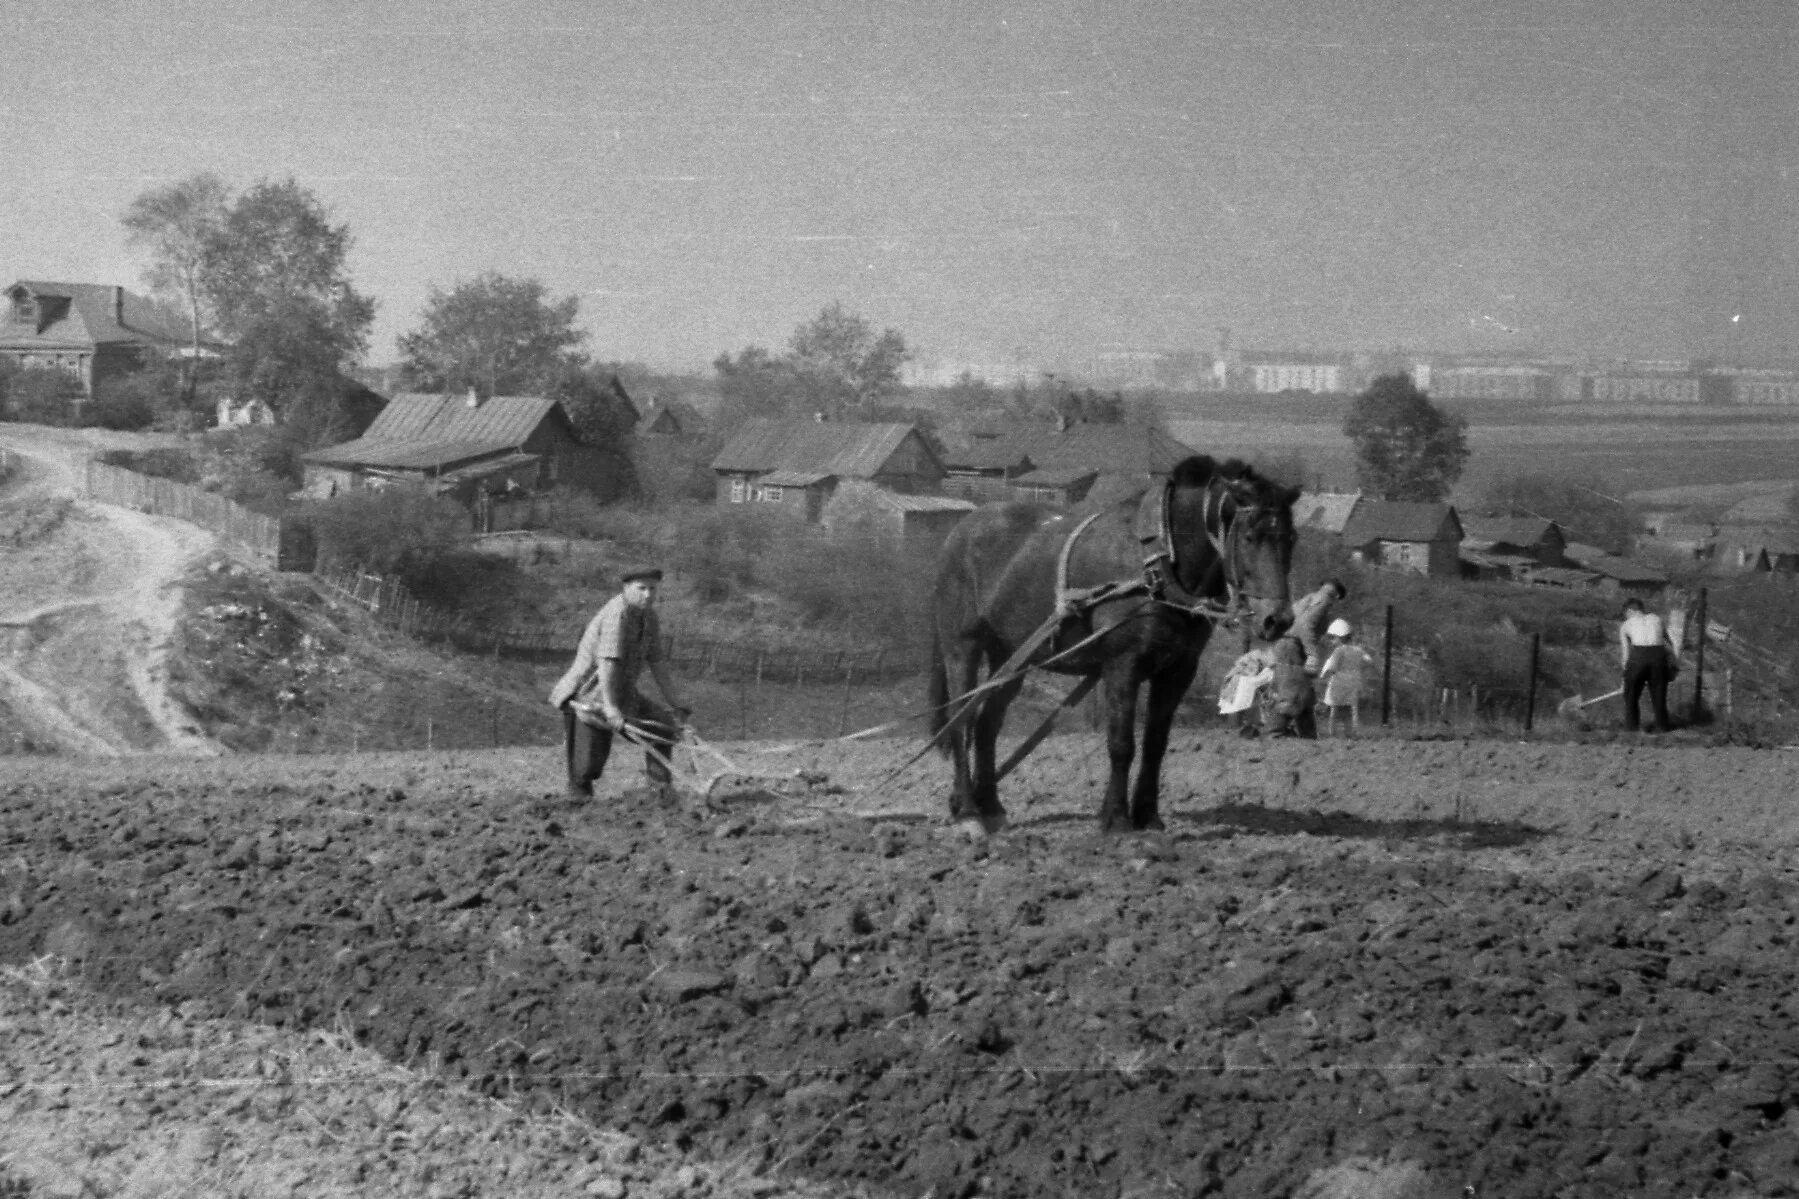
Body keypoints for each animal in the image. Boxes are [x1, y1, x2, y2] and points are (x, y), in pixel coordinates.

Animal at [928, 453, 1295, 835]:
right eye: (1250, 537)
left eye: (1291, 539)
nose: (1277, 619)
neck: (1157, 565)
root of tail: (959, 531)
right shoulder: (1123, 664)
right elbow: (1121, 743)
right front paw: (1116, 817)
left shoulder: (1178, 670)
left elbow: (1155, 743)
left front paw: (1148, 816)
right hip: (962, 648)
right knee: (960, 721)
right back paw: (969, 812)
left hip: (1012, 656)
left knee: (987, 724)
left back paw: (990, 807)